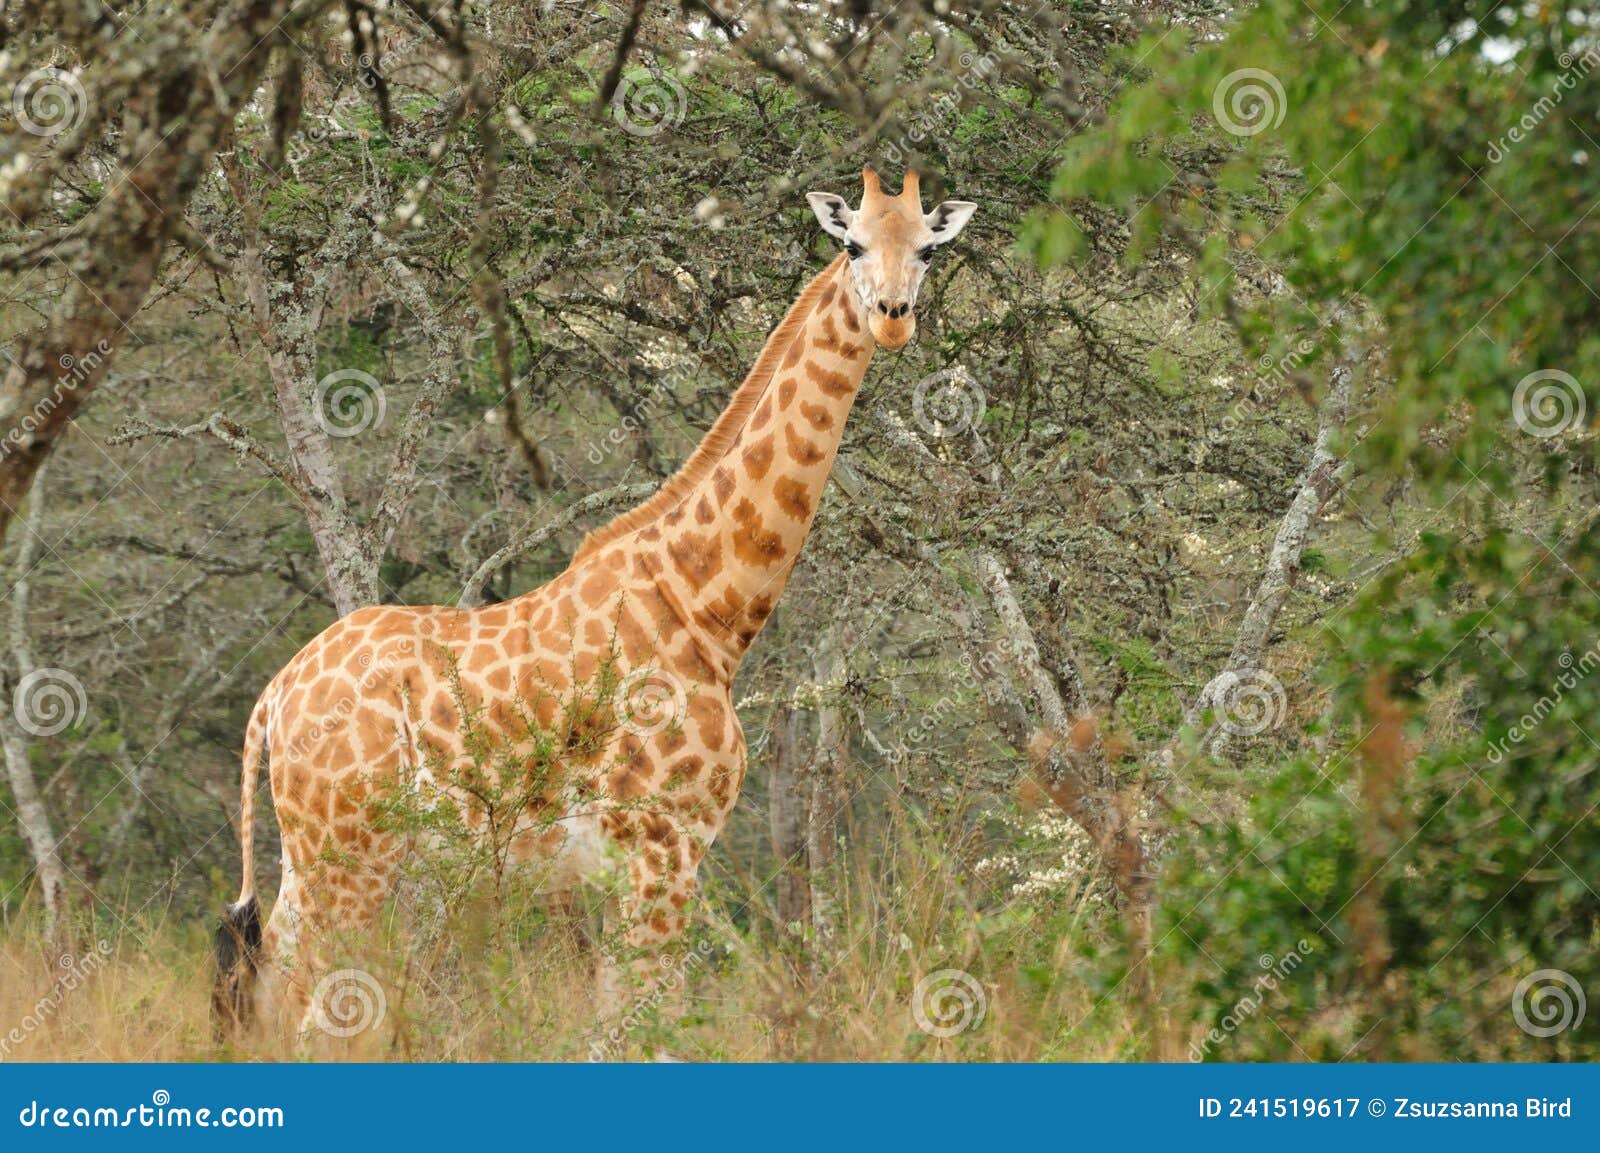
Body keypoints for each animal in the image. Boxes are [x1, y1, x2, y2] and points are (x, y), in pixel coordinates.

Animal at [213, 167, 977, 1041]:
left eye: (928, 249)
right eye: (851, 244)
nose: (892, 319)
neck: (706, 608)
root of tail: (273, 698)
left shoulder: (639, 862)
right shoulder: (664, 843)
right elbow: (647, 1027)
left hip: (315, 855)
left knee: (275, 992)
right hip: (352, 852)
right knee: (314, 1010)